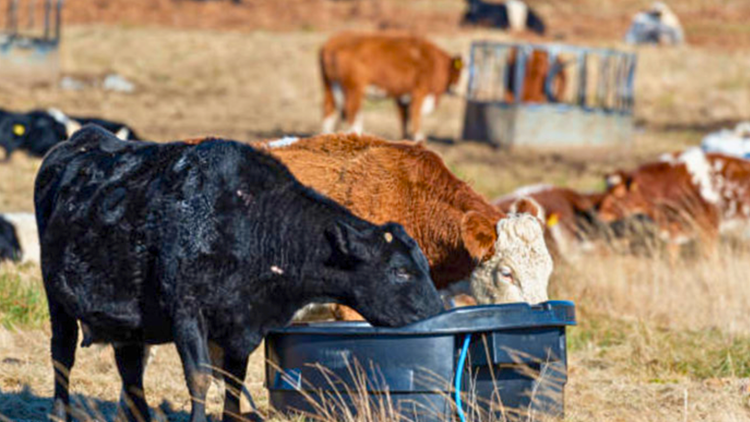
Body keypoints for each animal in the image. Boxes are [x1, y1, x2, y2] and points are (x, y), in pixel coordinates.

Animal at [35, 126, 443, 422]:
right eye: (400, 271)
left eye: (424, 266)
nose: (437, 312)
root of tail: (82, 140)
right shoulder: (187, 312)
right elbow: (199, 377)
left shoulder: (243, 326)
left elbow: (233, 380)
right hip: (56, 297)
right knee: (62, 355)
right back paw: (59, 414)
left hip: (128, 321)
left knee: (131, 369)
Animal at [320, 32, 463, 142]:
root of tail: (332, 43)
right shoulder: (419, 92)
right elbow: (415, 117)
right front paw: (418, 139)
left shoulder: (403, 96)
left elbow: (404, 118)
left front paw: (406, 139)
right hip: (353, 88)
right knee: (353, 115)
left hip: (330, 87)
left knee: (329, 113)